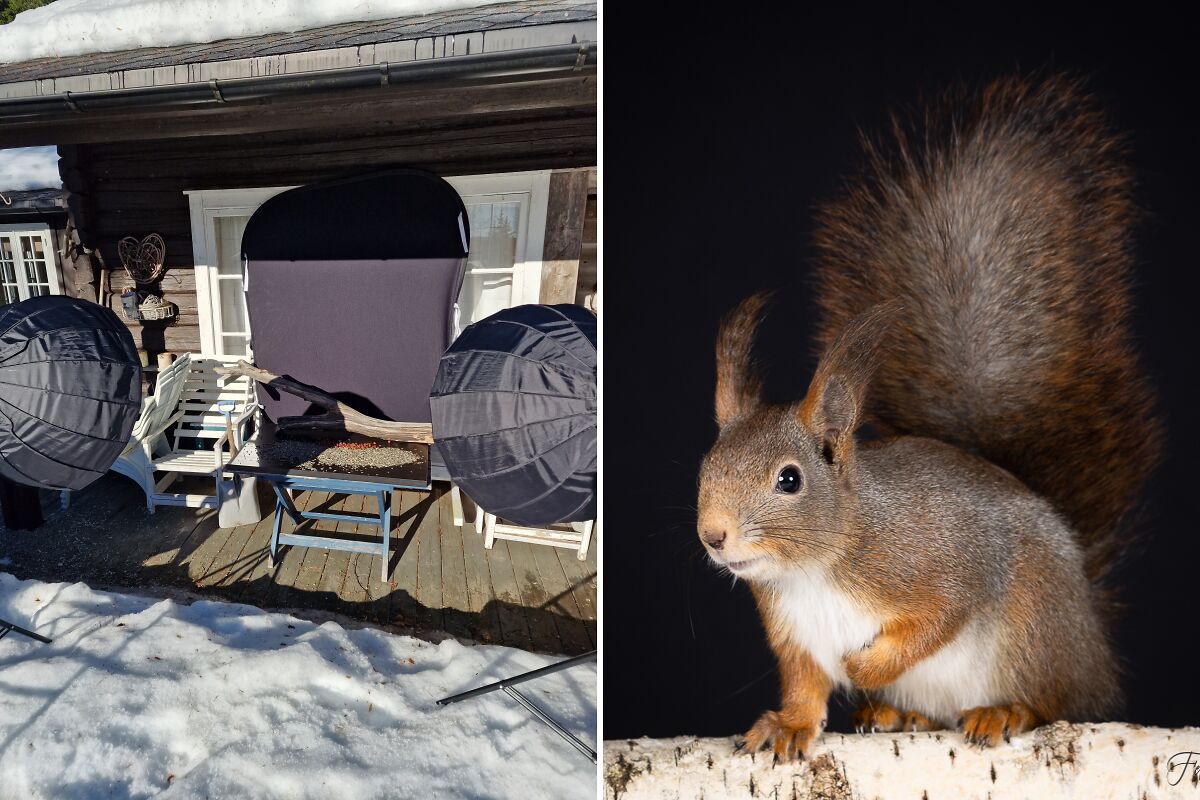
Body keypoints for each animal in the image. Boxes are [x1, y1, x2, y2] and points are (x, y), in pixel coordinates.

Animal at [696, 74, 1162, 759]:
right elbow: (805, 689)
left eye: (789, 479)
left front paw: (864, 667)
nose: (714, 535)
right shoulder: (794, 635)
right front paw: (788, 726)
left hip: (1033, 627)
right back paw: (898, 713)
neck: (821, 563)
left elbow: (937, 620)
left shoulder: (940, 567)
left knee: (1055, 701)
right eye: (705, 468)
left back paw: (1003, 710)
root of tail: (1090, 636)